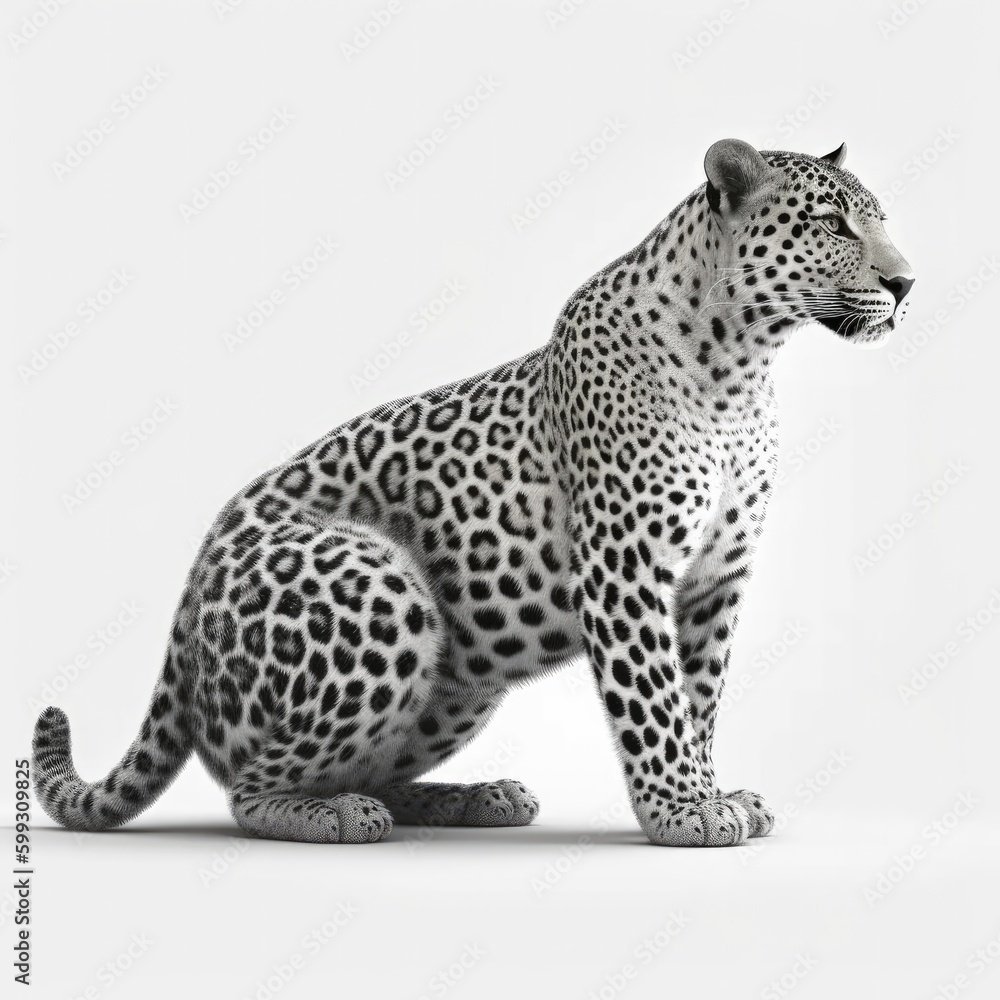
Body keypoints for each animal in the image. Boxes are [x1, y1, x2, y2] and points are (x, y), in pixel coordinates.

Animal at [33, 139, 914, 846]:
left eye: (877, 221)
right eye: (834, 225)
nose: (906, 282)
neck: (742, 367)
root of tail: (185, 611)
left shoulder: (714, 580)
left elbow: (698, 696)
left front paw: (709, 789)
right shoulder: (625, 564)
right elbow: (654, 696)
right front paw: (682, 810)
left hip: (464, 674)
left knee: (366, 764)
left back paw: (475, 796)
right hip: (378, 583)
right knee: (250, 785)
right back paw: (335, 815)